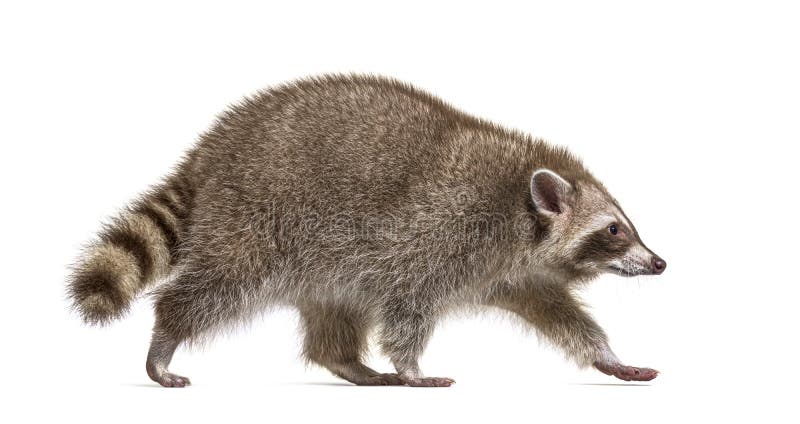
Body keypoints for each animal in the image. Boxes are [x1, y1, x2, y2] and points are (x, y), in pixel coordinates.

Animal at [68, 74, 666, 387]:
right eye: (615, 230)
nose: (659, 262)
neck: (519, 211)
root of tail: (209, 150)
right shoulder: (441, 235)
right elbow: (407, 307)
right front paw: (412, 367)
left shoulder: (519, 274)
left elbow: (562, 315)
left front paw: (608, 356)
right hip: (256, 218)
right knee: (219, 284)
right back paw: (167, 337)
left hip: (321, 258)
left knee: (334, 310)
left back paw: (349, 364)